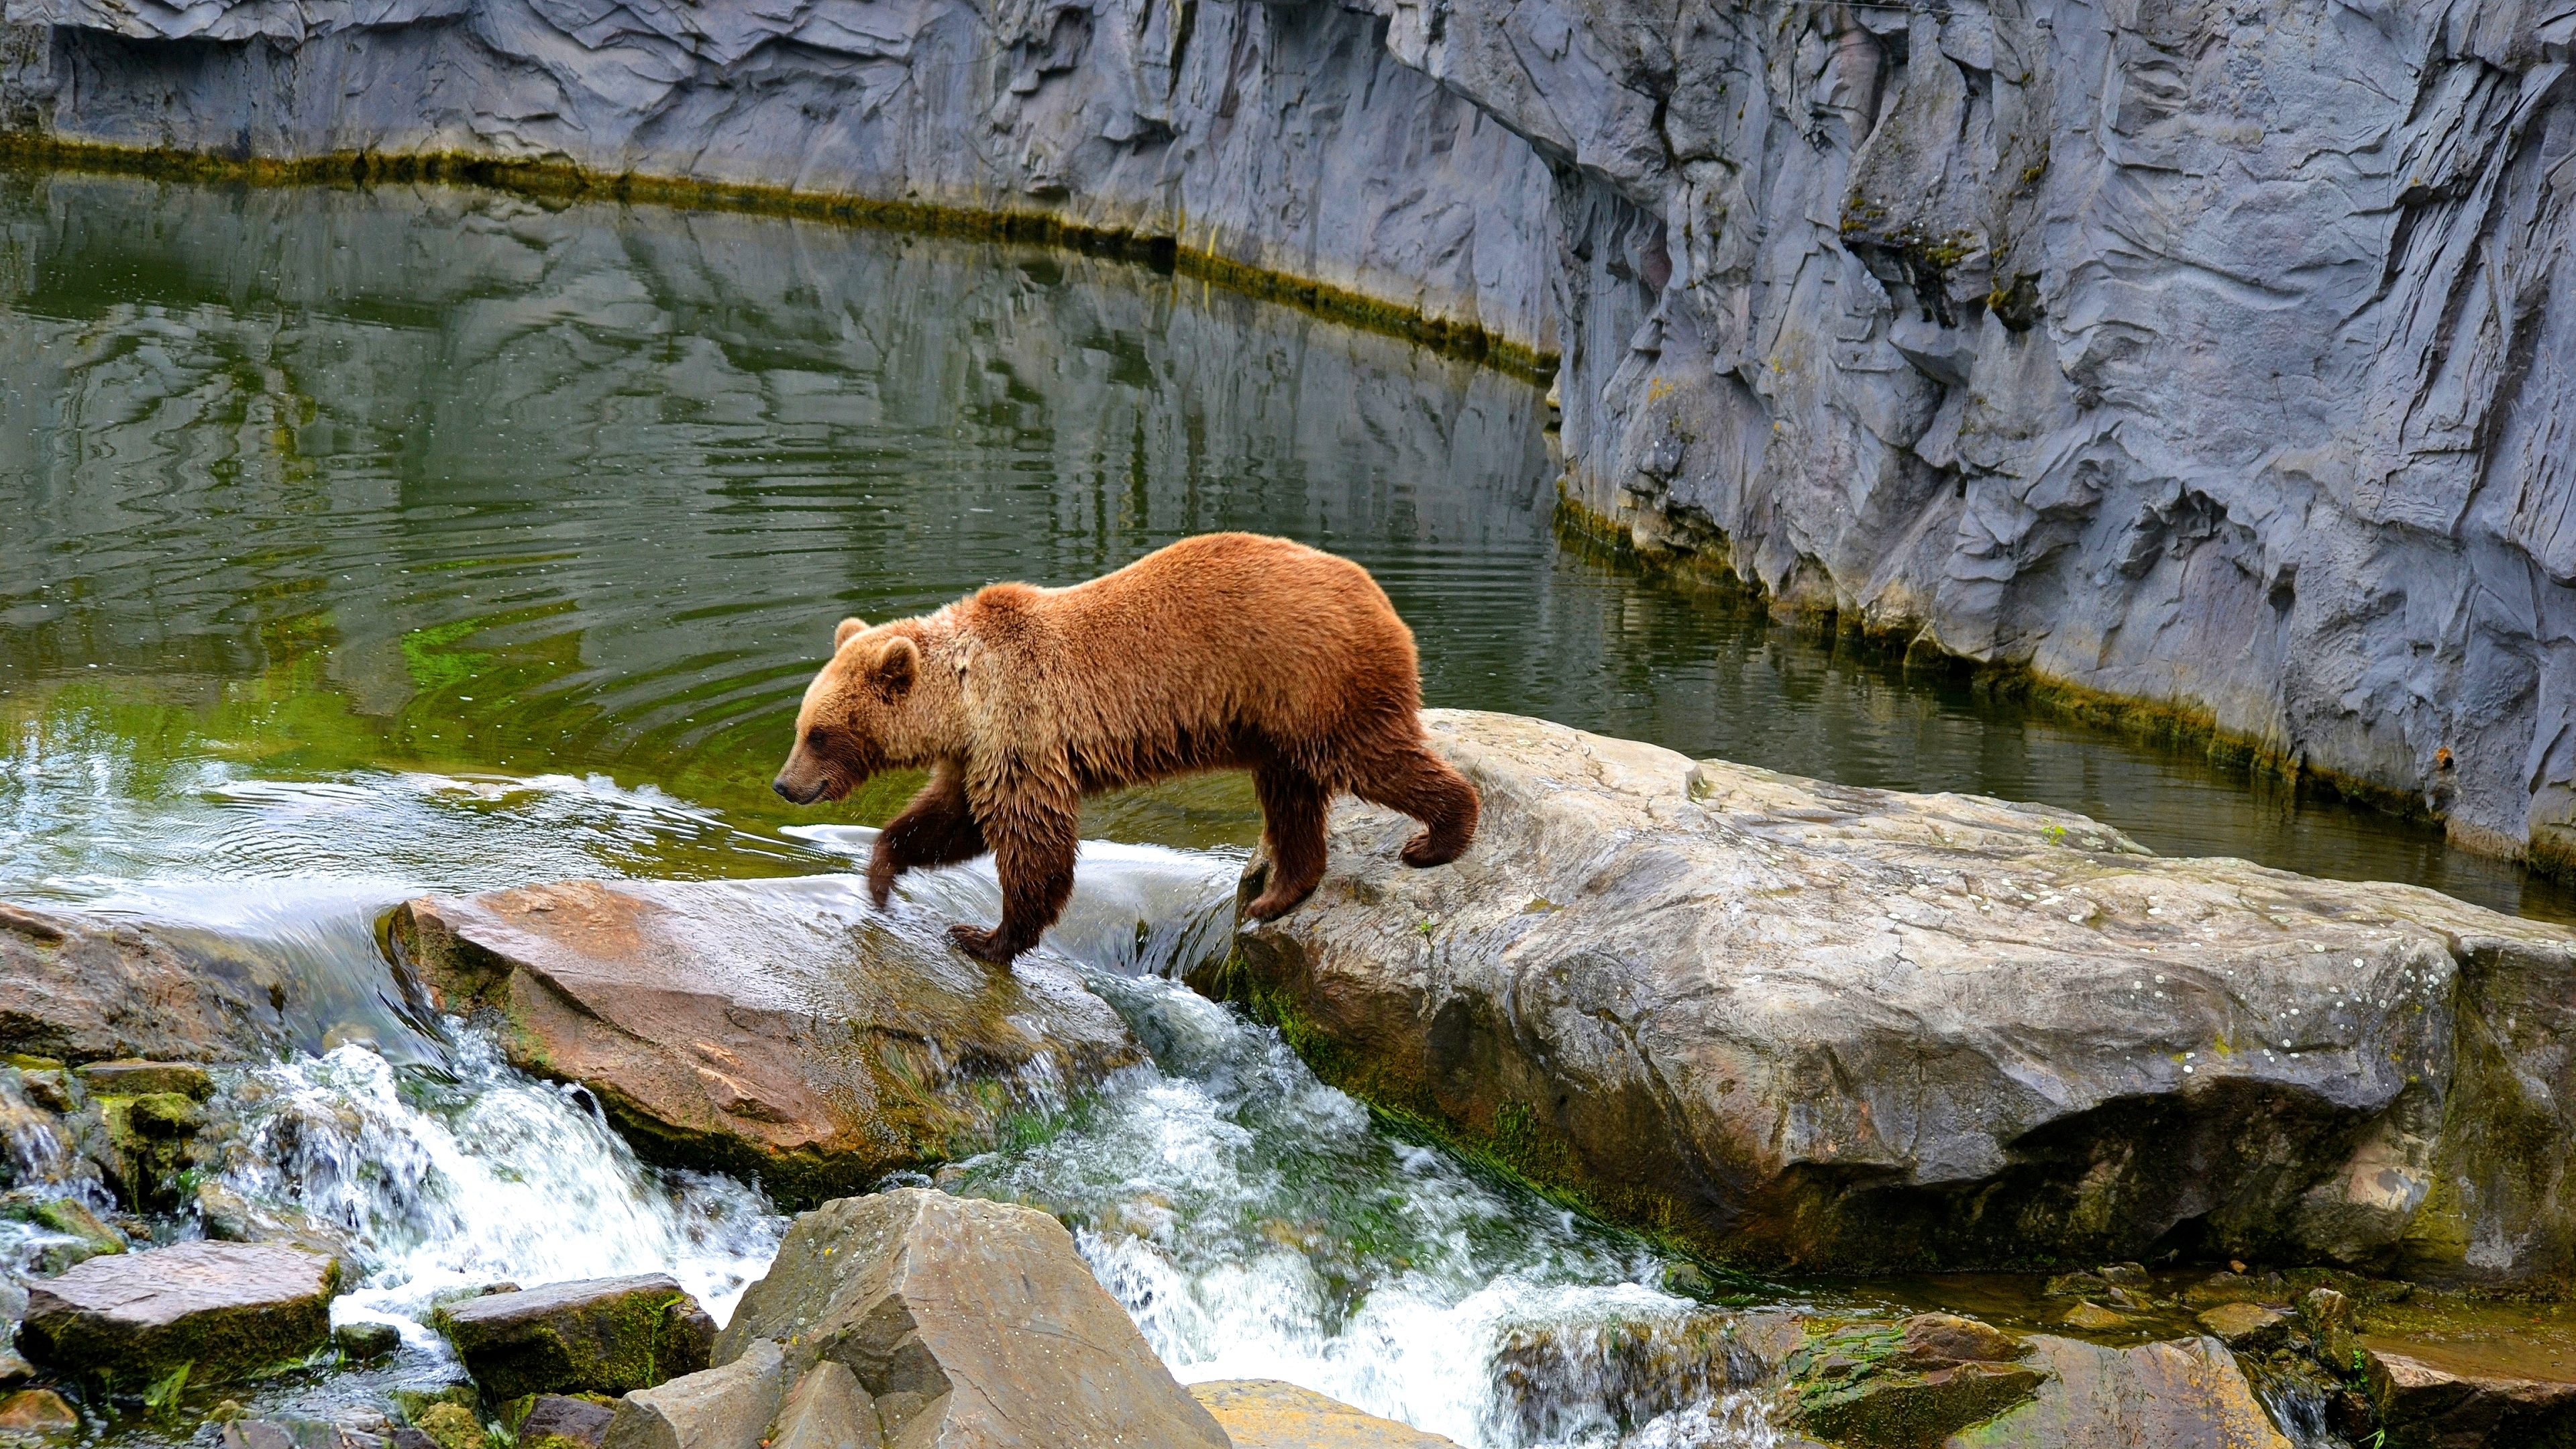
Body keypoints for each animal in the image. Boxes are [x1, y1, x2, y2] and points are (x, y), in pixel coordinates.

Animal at [771, 532, 1480, 965]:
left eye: (818, 734)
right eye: (800, 727)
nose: (785, 784)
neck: (964, 698)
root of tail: (1378, 595)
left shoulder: (1022, 727)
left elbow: (1031, 838)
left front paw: (986, 935)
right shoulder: (978, 751)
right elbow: (951, 820)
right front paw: (881, 874)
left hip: (1312, 680)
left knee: (1371, 757)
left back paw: (1438, 836)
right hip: (1274, 719)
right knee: (1292, 796)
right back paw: (1278, 894)